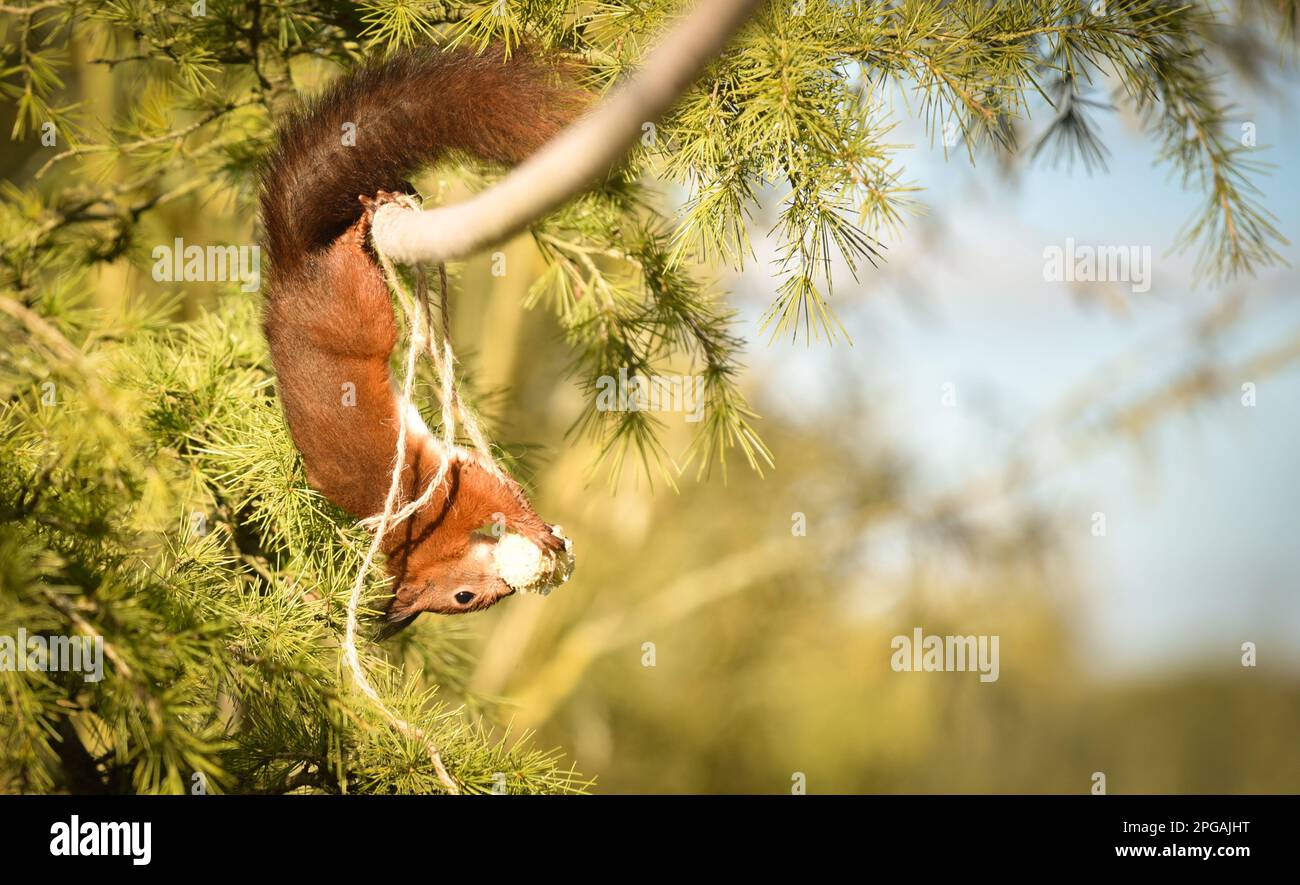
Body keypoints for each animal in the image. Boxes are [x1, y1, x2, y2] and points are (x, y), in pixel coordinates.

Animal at [259, 46, 586, 635]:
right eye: (464, 598)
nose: (502, 591)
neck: (419, 538)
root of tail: (290, 275)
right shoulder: (461, 488)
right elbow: (496, 488)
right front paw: (537, 532)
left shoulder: (457, 491)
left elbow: (499, 493)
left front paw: (535, 527)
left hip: (358, 314)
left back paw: (367, 216)